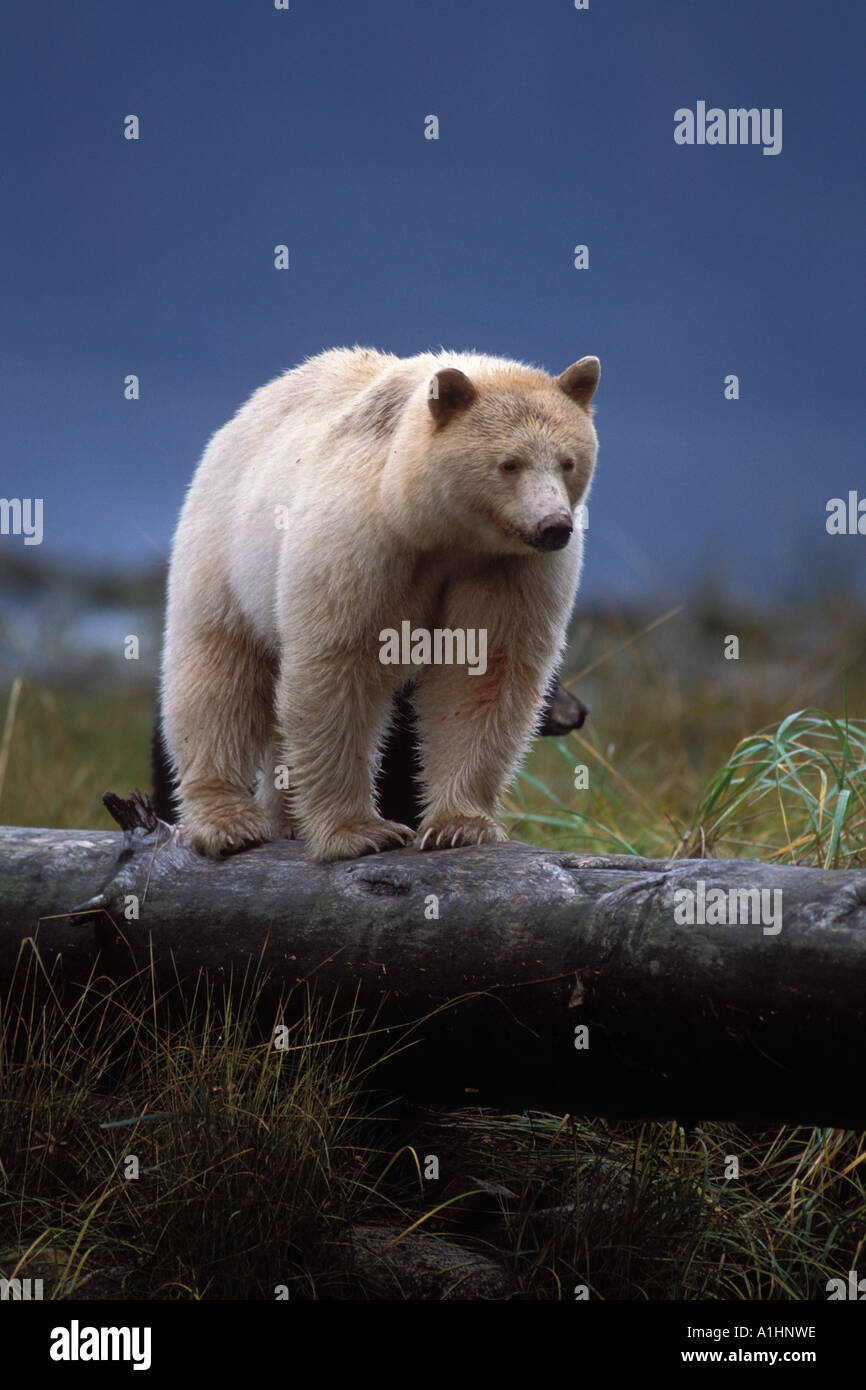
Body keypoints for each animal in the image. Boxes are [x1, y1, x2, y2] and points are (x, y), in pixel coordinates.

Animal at [157, 346, 600, 862]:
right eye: (510, 464)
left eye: (568, 461)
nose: (555, 525)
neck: (437, 526)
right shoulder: (365, 541)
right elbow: (339, 668)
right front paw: (361, 831)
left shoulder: (507, 568)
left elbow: (484, 673)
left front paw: (460, 825)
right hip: (224, 551)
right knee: (217, 678)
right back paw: (227, 821)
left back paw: (285, 817)